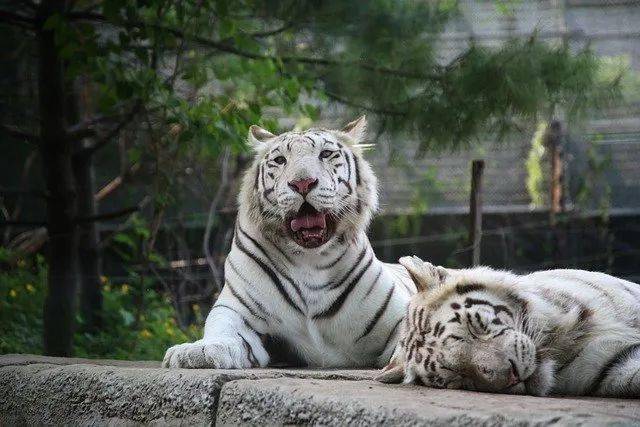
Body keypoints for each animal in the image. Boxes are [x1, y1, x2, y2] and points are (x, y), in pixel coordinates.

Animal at [162, 116, 416, 369]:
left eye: (325, 154)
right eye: (280, 160)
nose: (303, 183)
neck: (311, 260)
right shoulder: (236, 309)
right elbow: (222, 330)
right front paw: (196, 351)